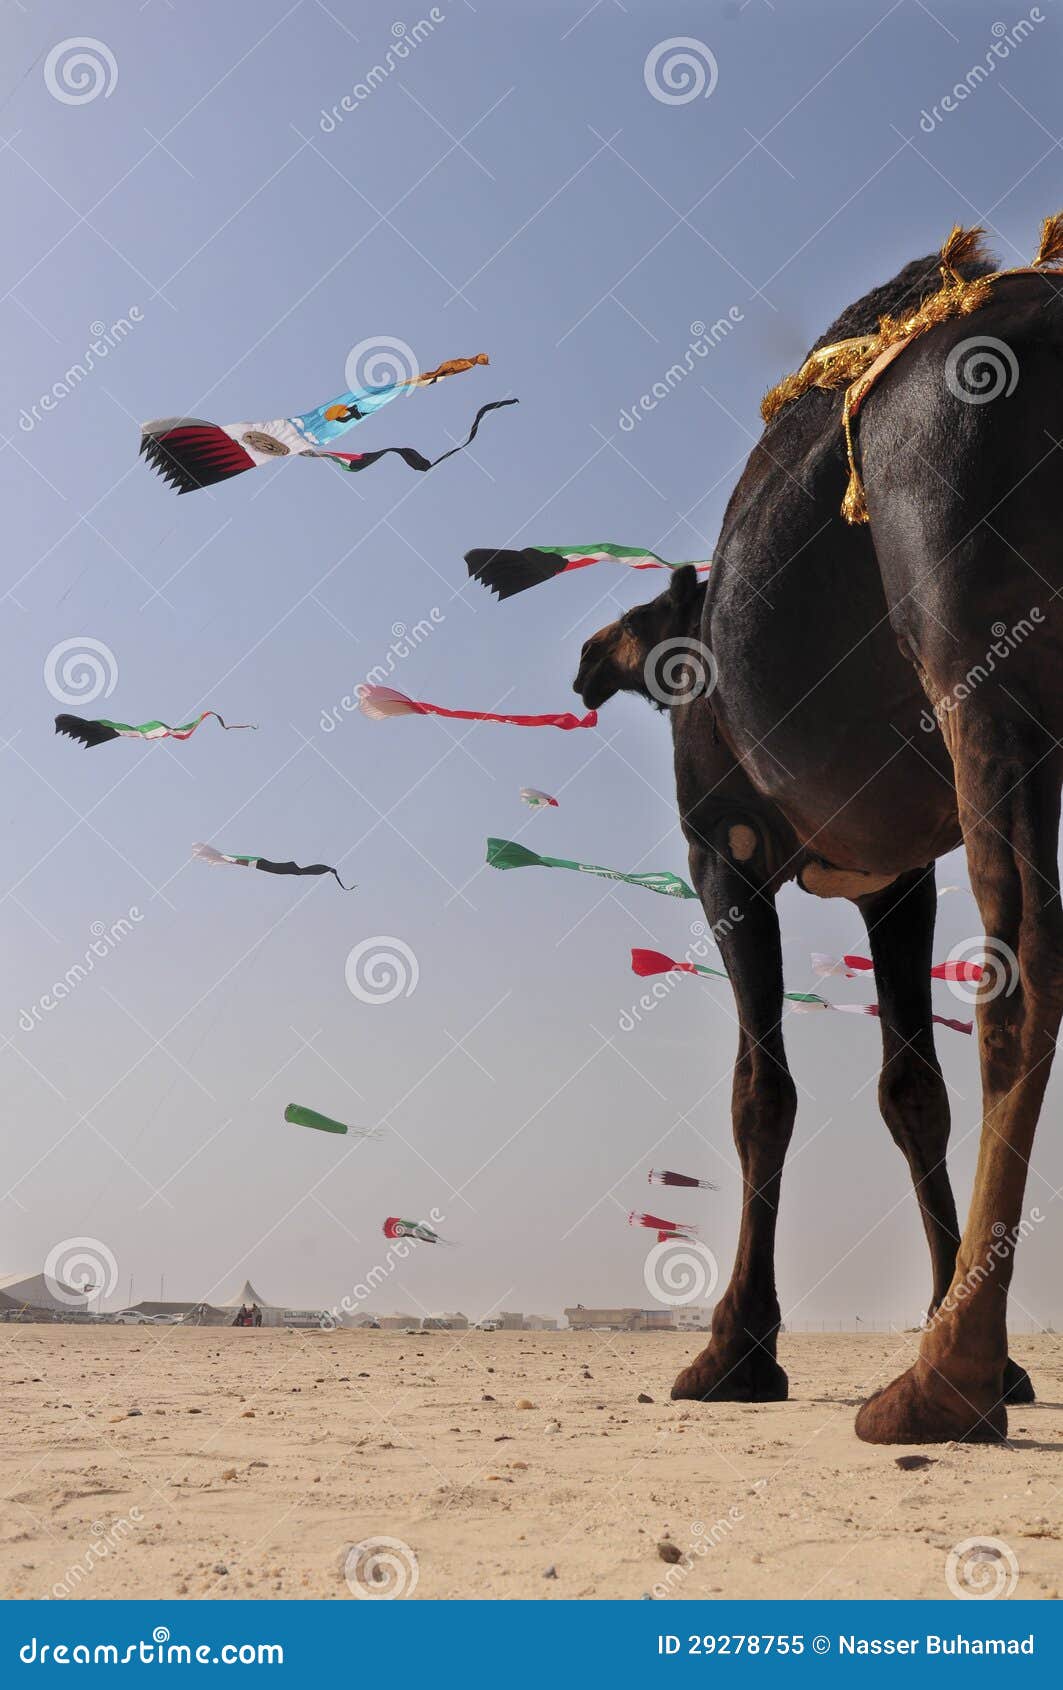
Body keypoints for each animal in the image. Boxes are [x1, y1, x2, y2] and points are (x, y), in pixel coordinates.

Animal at [573, 229, 1063, 1443]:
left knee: (1024, 962)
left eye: (637, 639)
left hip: (982, 658)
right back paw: (960, 1356)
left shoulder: (724, 852)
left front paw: (733, 1348)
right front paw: (991, 1347)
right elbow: (908, 1091)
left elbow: (762, 1091)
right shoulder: (897, 874)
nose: (588, 664)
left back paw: (942, 1382)